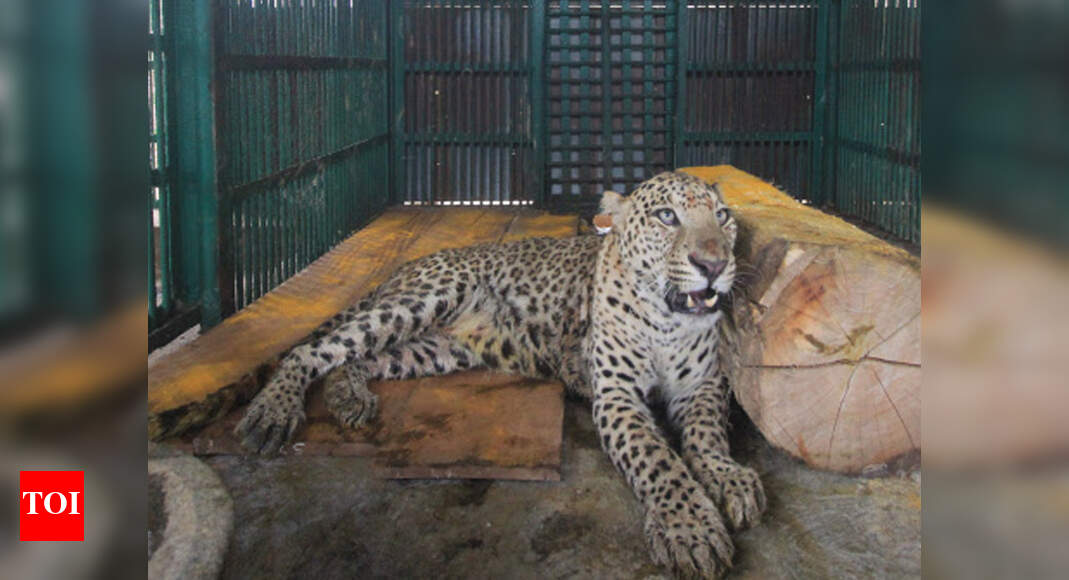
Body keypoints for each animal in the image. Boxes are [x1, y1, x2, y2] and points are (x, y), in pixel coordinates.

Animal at [235, 171, 766, 578]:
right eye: (666, 217)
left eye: (722, 216)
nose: (714, 264)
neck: (668, 319)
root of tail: (410, 265)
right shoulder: (617, 396)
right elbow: (657, 459)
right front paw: (689, 527)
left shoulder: (704, 386)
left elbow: (706, 438)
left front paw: (728, 479)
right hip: (422, 300)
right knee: (313, 350)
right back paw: (271, 413)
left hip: (436, 348)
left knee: (358, 358)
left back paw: (349, 398)